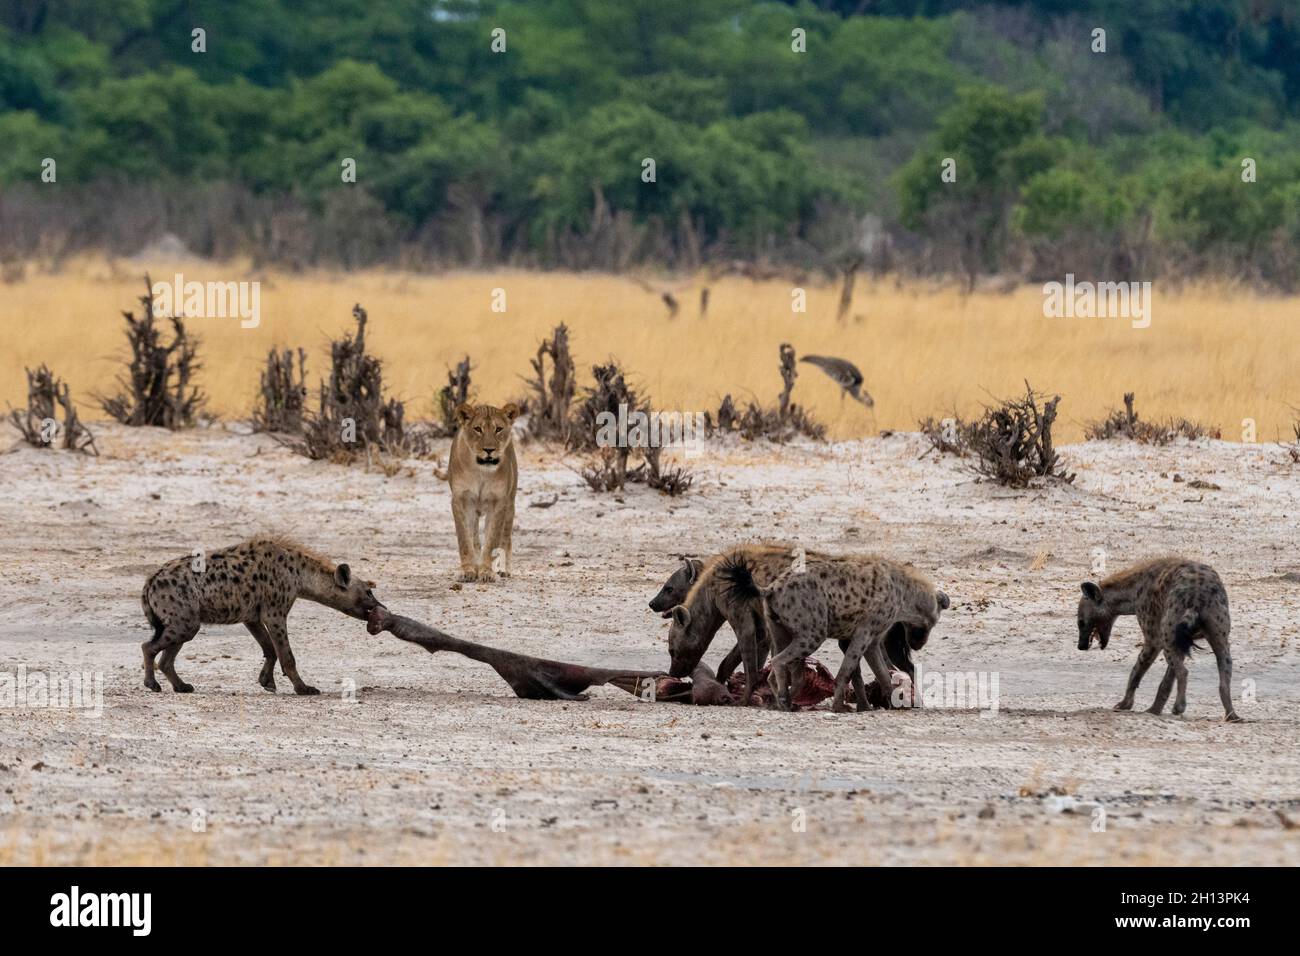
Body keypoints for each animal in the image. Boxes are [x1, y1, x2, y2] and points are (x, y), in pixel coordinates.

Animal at [438, 402, 520, 582]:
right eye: (477, 429)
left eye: (498, 429)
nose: (489, 450)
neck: (481, 471)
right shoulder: (461, 500)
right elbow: (465, 538)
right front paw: (468, 570)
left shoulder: (499, 502)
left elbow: (492, 540)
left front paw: (486, 572)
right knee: (475, 537)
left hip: (510, 504)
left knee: (506, 538)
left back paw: (504, 569)